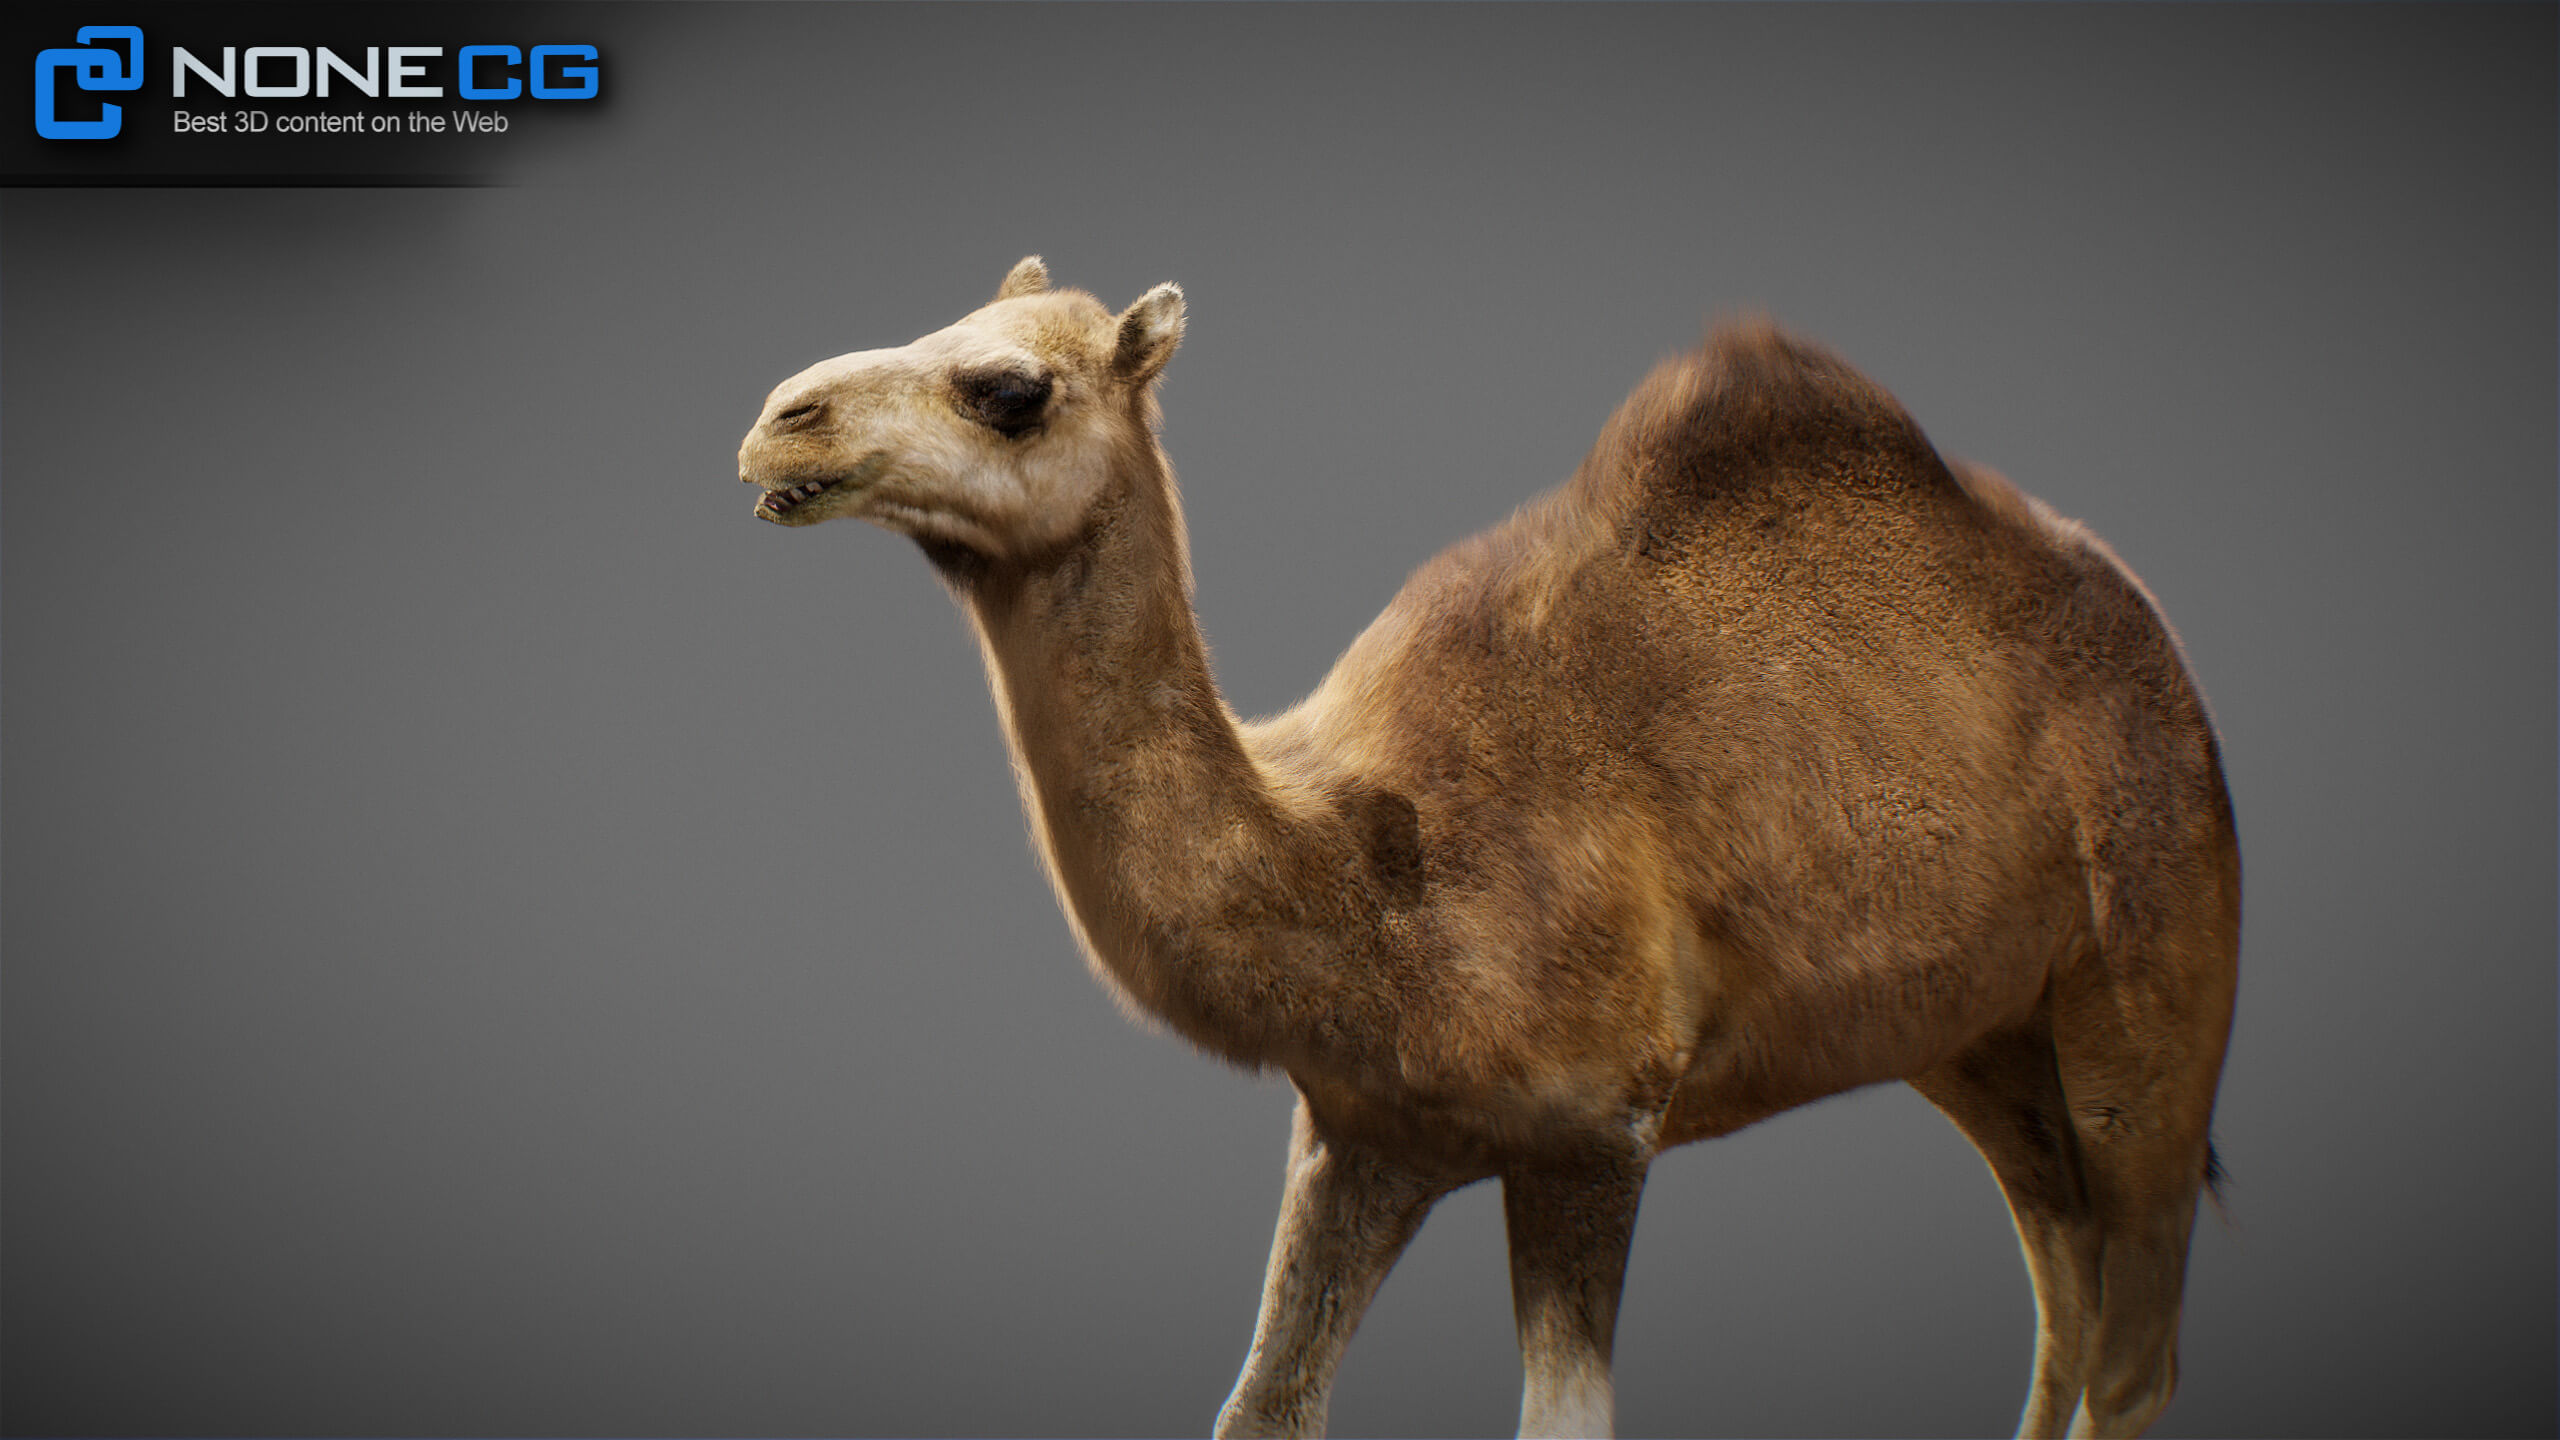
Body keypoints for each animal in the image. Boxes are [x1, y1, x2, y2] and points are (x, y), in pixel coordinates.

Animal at [733, 258, 2239, 1440]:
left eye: (1010, 389)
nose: (775, 421)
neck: (1365, 870)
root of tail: (2150, 632)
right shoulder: (1363, 1135)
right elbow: (1263, 1408)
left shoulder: (1598, 1131)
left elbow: (1562, 1419)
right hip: (1973, 1034)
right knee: (2063, 1274)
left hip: (2154, 951)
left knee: (2132, 1334)